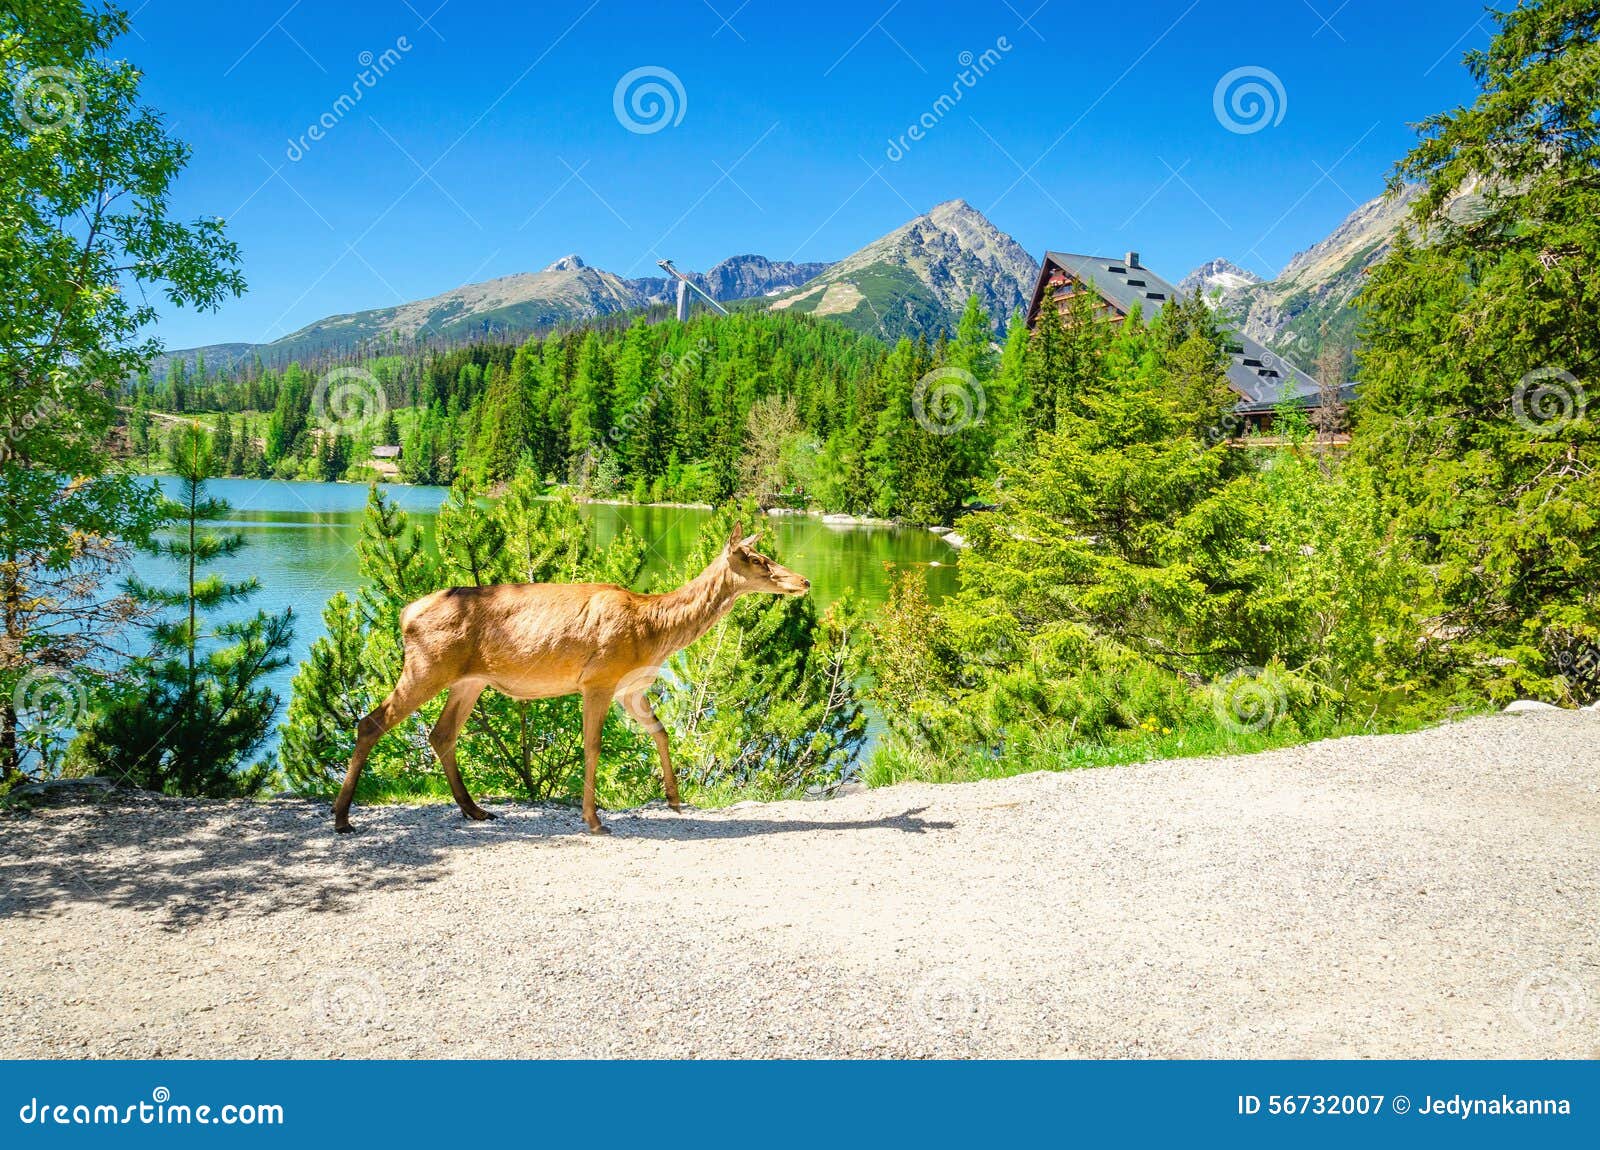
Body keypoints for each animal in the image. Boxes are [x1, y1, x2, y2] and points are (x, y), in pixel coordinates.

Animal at [332, 522, 810, 835]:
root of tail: (405, 614)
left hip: (470, 680)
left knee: (441, 733)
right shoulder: (599, 678)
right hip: (427, 665)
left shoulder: (631, 689)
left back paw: (474, 810)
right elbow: (593, 746)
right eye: (759, 560)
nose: (804, 581)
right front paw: (594, 820)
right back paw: (342, 818)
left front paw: (674, 799)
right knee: (371, 722)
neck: (654, 631)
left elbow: (661, 732)